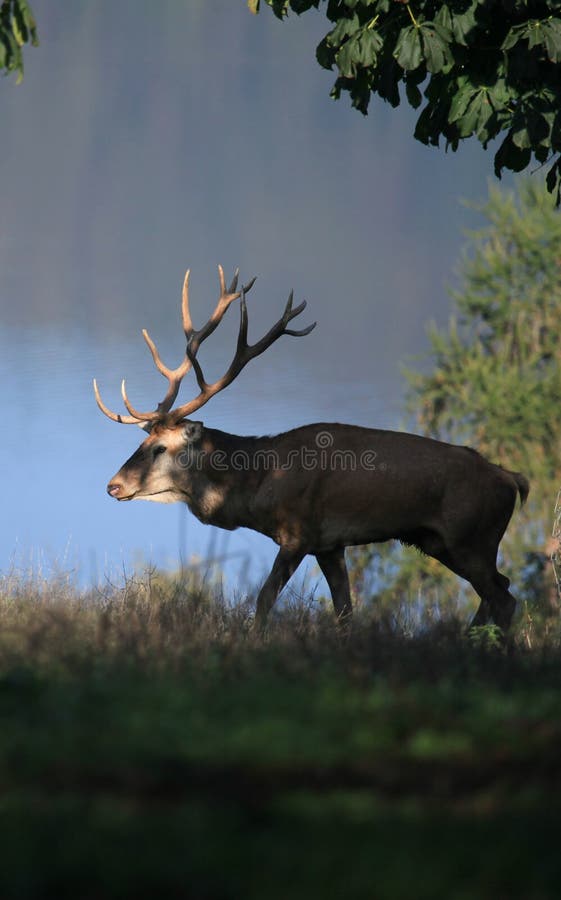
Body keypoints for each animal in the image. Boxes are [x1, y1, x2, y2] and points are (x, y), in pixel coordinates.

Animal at [94, 266, 529, 631]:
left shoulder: (298, 533)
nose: (113, 485)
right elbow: (345, 611)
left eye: (160, 448)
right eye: (142, 441)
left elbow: (264, 599)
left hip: (471, 537)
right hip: (443, 542)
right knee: (501, 589)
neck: (257, 484)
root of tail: (512, 479)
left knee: (505, 598)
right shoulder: (330, 545)